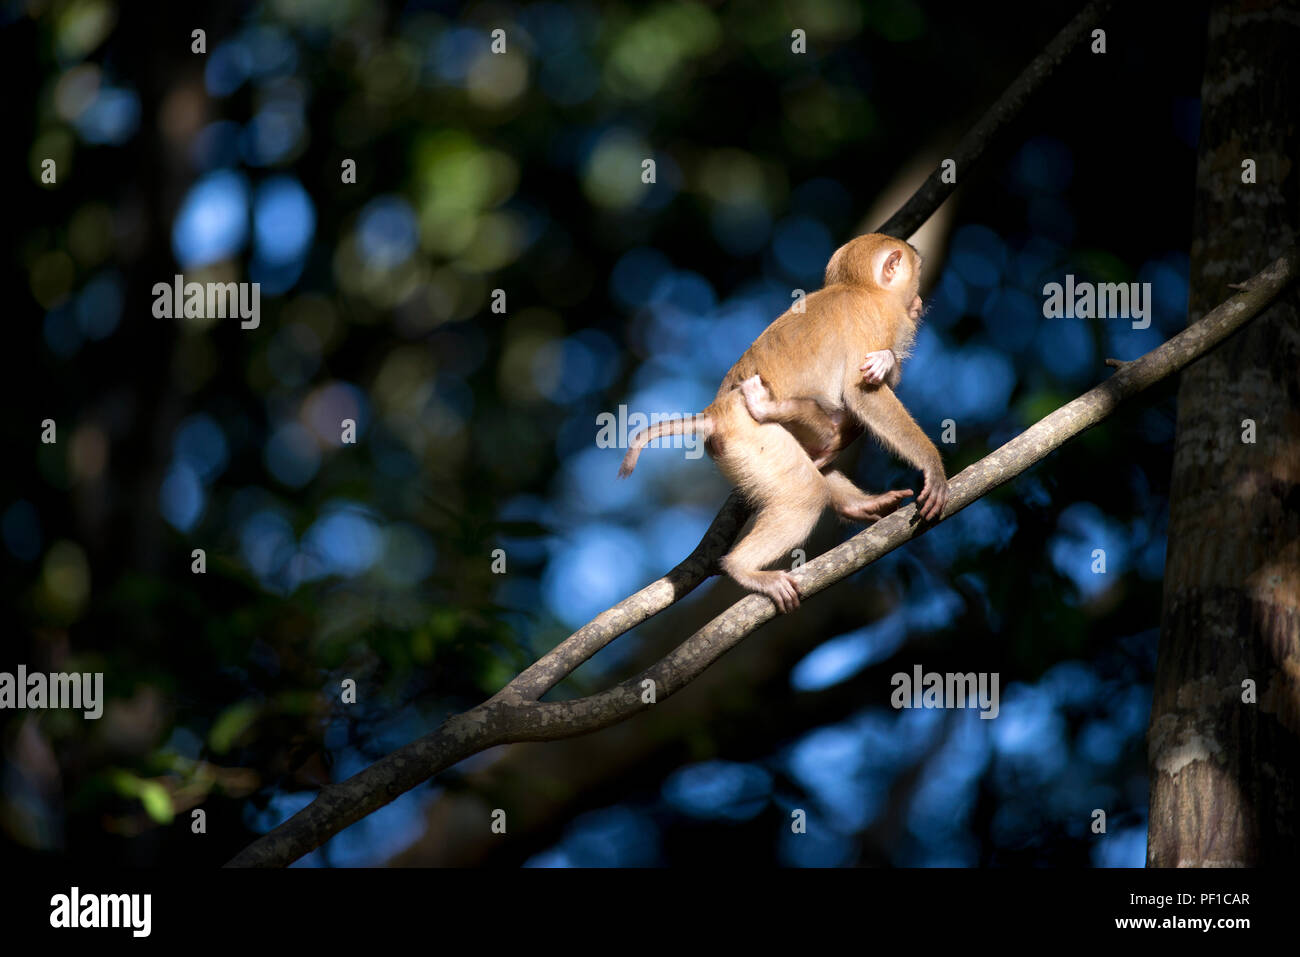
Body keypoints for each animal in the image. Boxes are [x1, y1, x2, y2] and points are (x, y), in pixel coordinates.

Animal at [619, 233, 949, 612]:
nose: (919, 301)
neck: (861, 288)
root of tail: (714, 414)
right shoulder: (883, 318)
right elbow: (863, 396)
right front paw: (932, 465)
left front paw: (887, 364)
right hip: (752, 437)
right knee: (807, 491)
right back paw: (743, 568)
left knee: (819, 455)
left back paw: (855, 500)